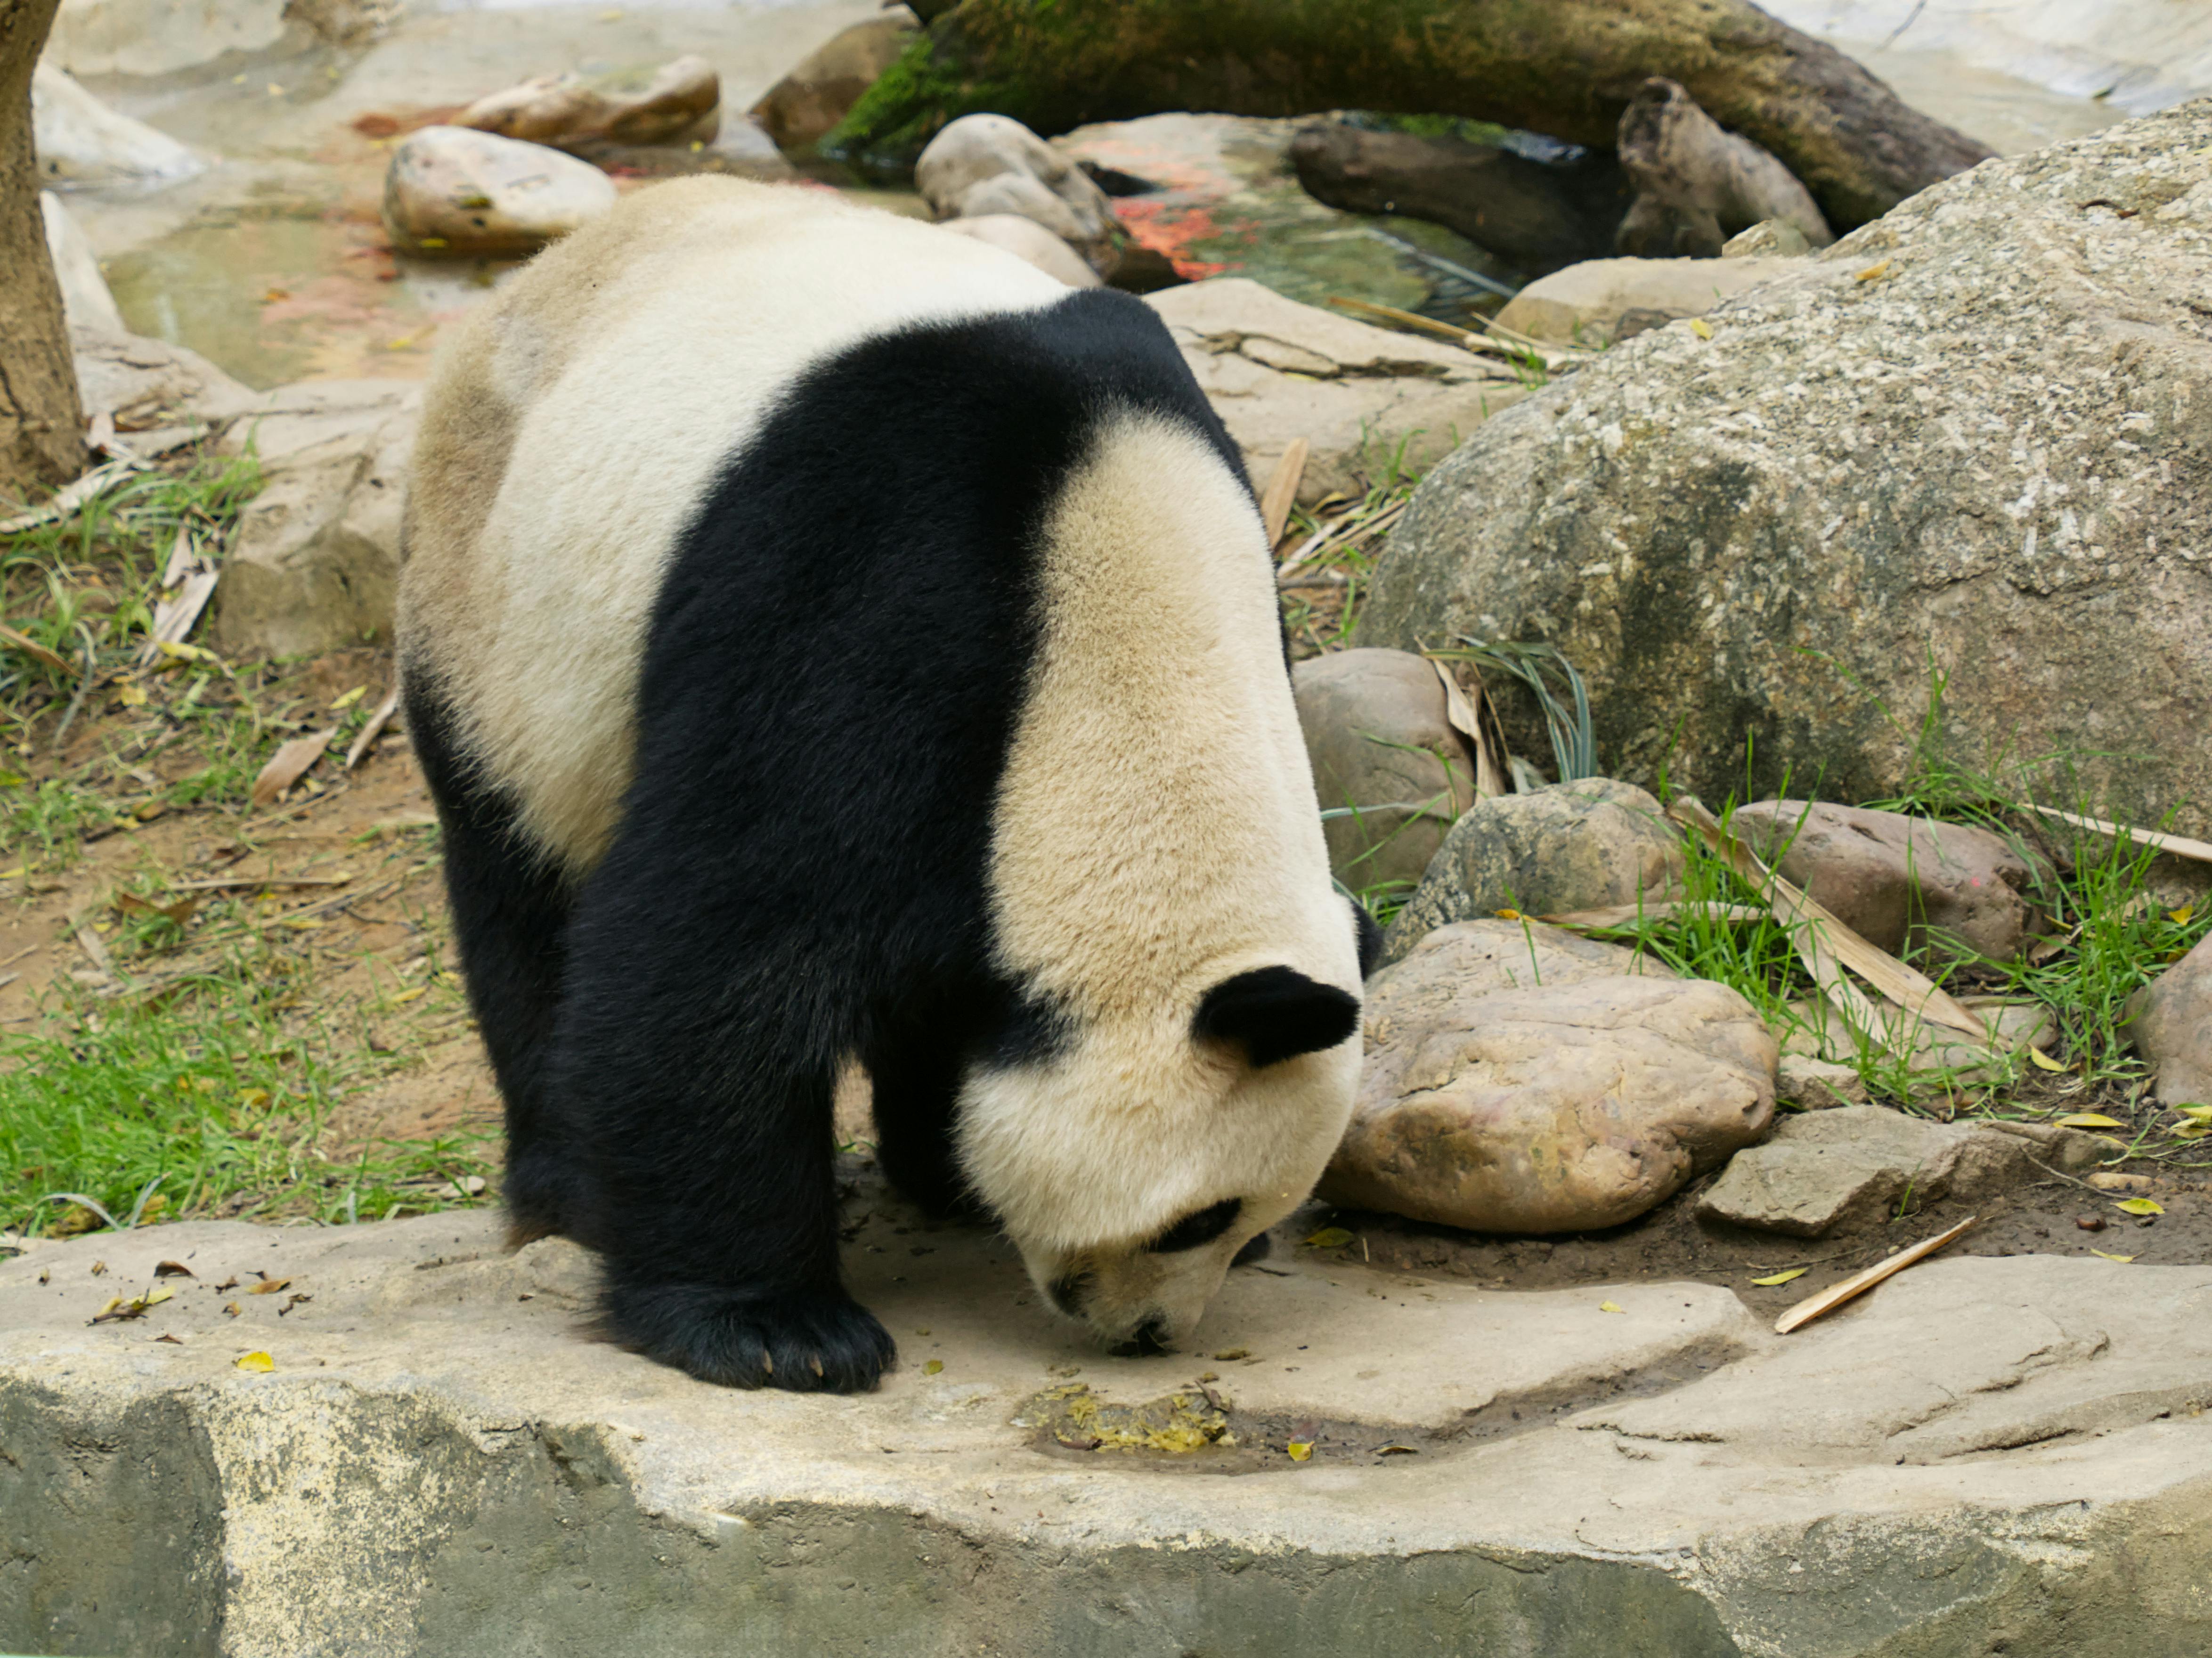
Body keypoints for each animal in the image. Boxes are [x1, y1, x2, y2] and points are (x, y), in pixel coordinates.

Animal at [397, 176, 1377, 1394]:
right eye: (1198, 1216)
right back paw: (568, 1188)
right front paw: (779, 1330)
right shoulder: (865, 592)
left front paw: (950, 1170)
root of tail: (529, 279)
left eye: (1244, 1230)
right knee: (521, 885)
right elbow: (711, 949)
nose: (1149, 1334)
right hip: (491, 602)